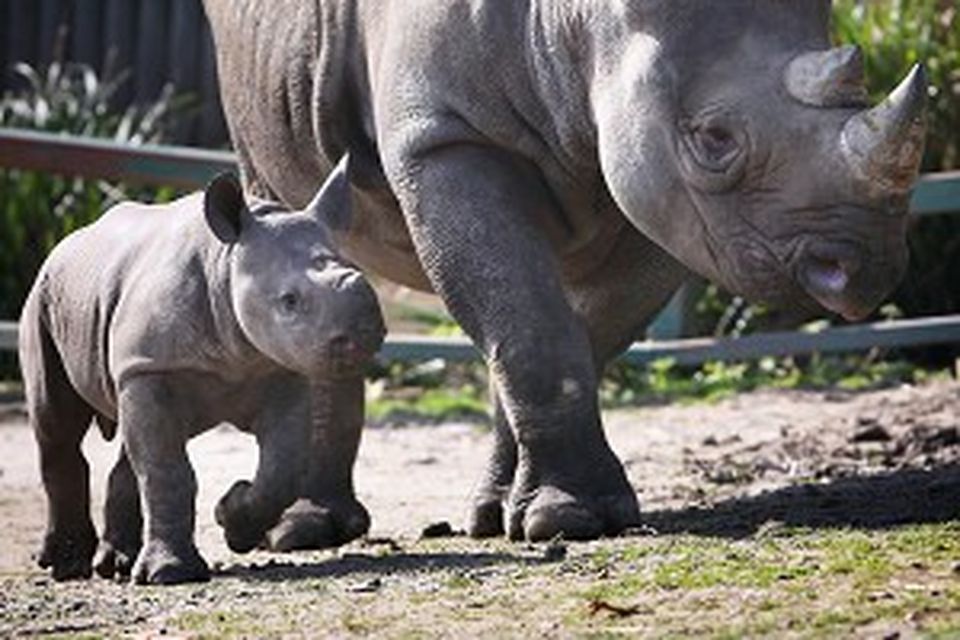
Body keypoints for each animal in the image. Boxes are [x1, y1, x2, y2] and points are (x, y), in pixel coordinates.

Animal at [19, 158, 385, 584]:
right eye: (289, 301)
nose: (363, 334)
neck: (225, 263)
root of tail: (67, 242)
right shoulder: (150, 367)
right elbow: (168, 470)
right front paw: (170, 574)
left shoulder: (279, 366)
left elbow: (282, 469)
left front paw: (232, 517)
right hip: (43, 298)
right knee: (57, 424)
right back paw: (68, 567)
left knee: (129, 443)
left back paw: (116, 564)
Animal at [203, 0, 927, 543]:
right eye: (714, 140)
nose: (860, 269)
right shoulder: (445, 135)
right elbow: (530, 321)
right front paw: (570, 518)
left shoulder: (659, 193)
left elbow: (563, 327)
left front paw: (550, 511)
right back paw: (305, 531)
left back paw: (485, 515)